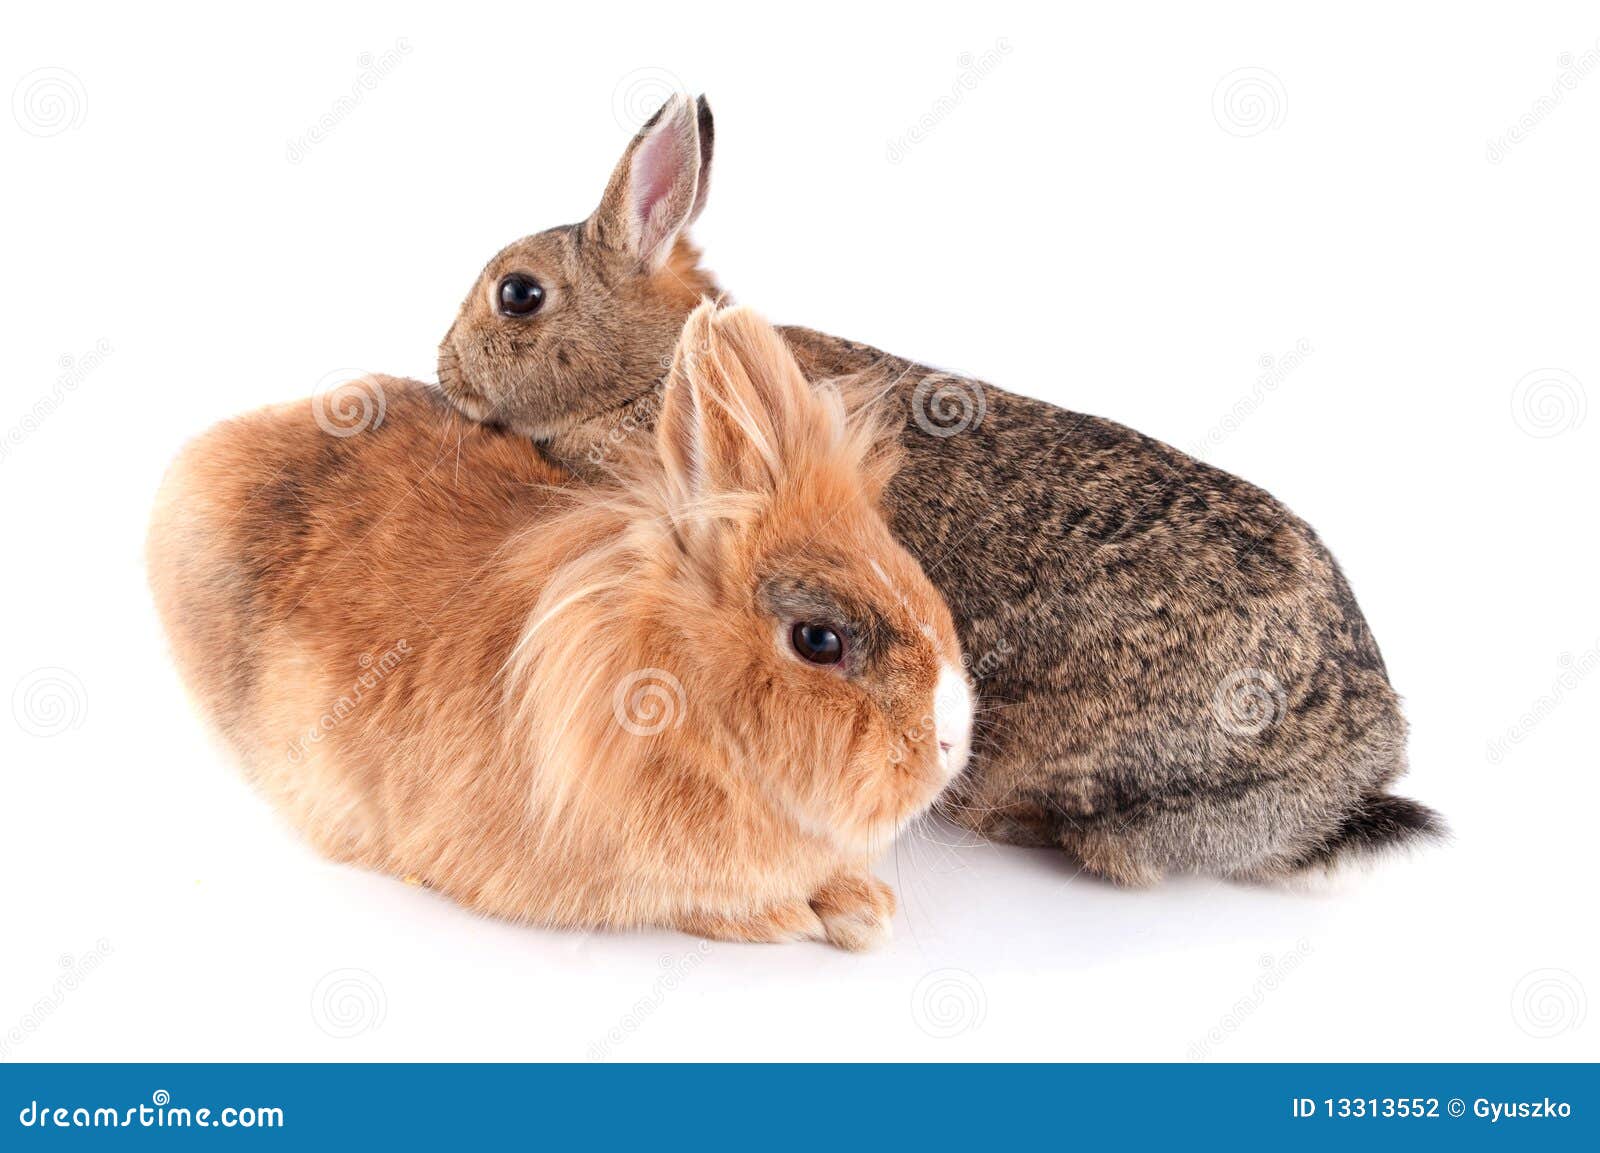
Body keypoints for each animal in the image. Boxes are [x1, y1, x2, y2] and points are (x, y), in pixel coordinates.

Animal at [147, 302, 974, 949]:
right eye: (818, 640)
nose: (949, 740)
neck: (676, 700)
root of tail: (199, 456)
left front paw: (860, 901)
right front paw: (819, 914)